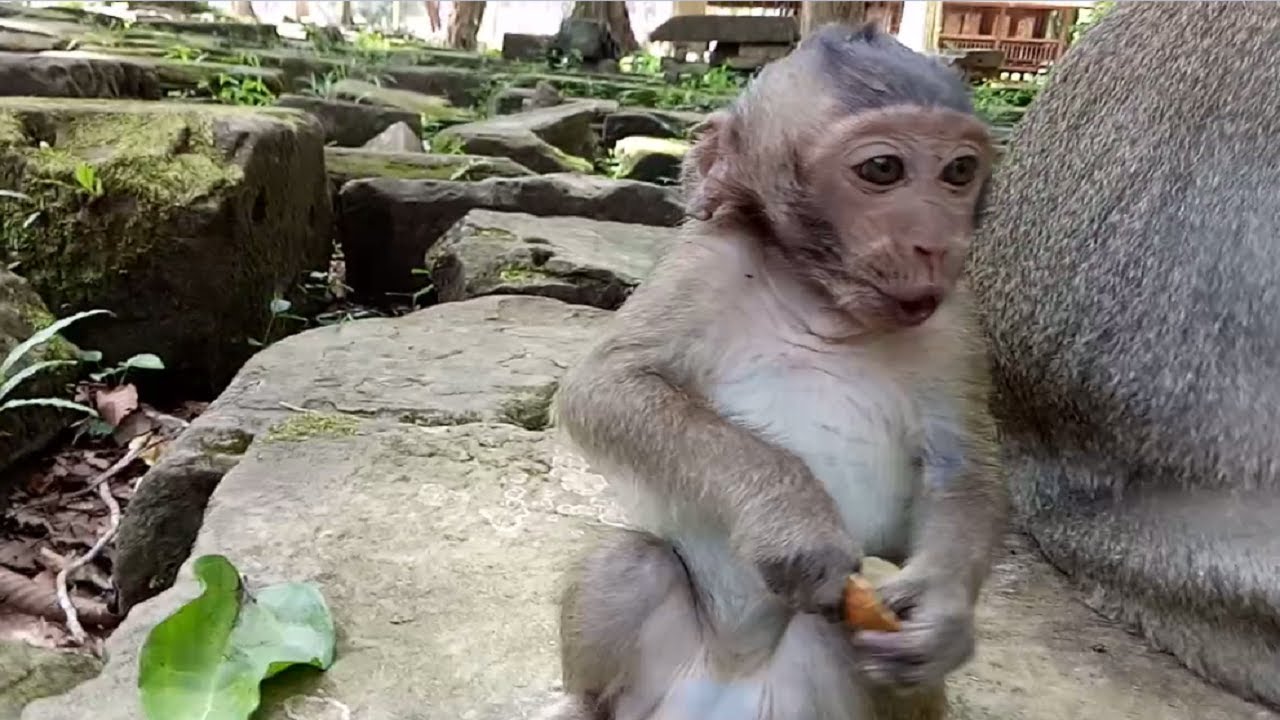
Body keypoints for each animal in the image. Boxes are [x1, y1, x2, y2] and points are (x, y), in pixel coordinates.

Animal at [544, 23, 1007, 720]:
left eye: (959, 171)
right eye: (883, 169)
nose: (936, 243)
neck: (823, 306)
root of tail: (729, 686)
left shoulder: (956, 327)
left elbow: (962, 467)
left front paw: (943, 614)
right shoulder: (706, 264)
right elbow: (608, 385)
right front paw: (793, 521)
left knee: (856, 631)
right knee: (631, 562)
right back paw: (586, 705)